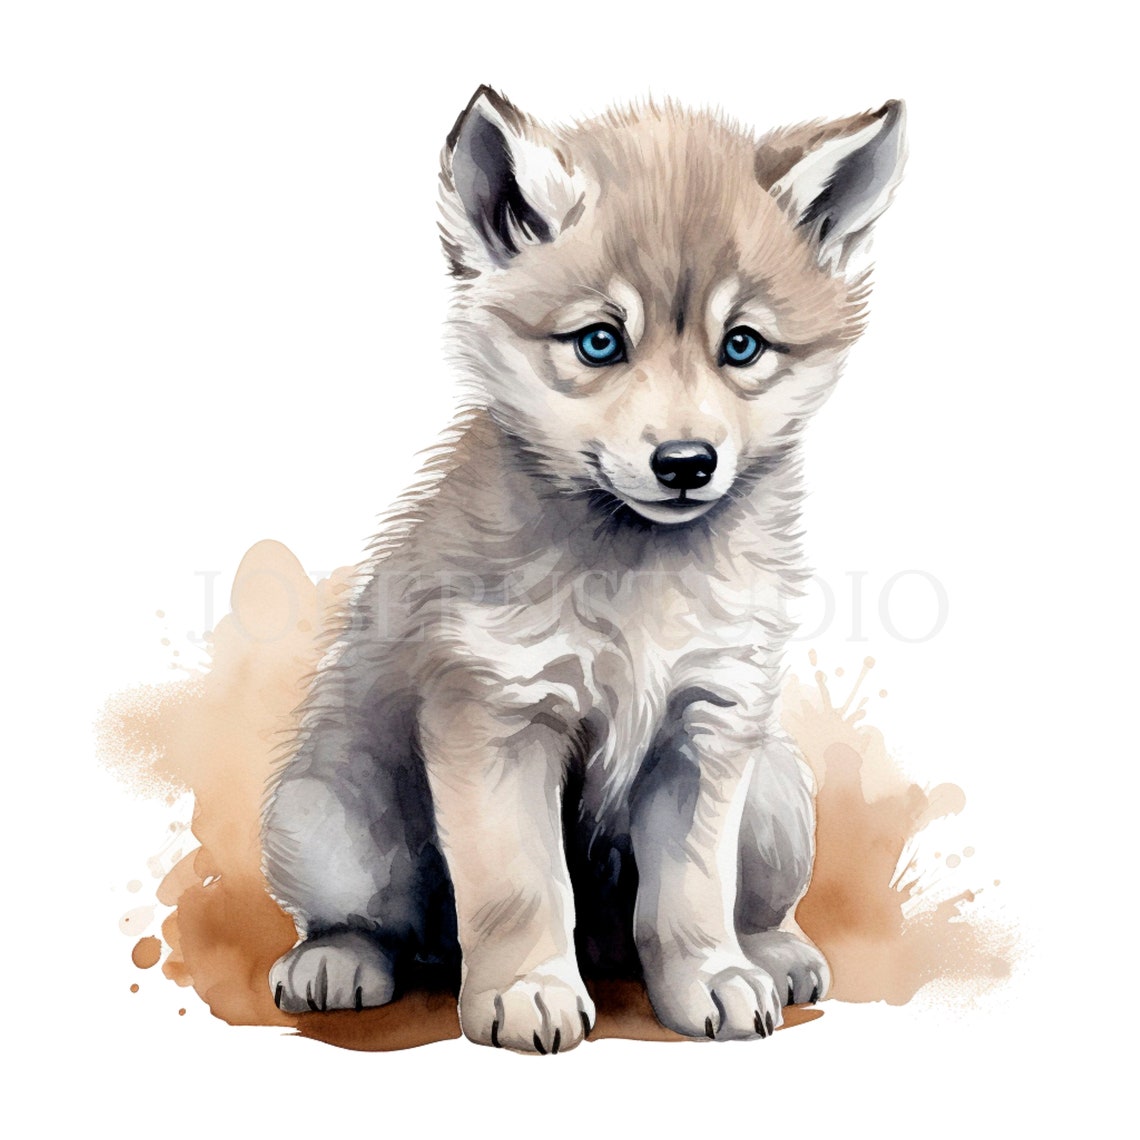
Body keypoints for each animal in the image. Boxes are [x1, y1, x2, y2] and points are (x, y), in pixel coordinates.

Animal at [261, 87, 905, 1053]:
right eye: (600, 343)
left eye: (743, 346)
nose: (687, 463)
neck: (639, 581)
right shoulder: (498, 716)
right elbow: (521, 888)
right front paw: (528, 990)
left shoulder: (706, 728)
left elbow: (690, 897)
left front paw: (711, 980)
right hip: (331, 822)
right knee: (380, 920)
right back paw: (337, 960)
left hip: (776, 798)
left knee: (742, 904)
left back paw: (773, 954)